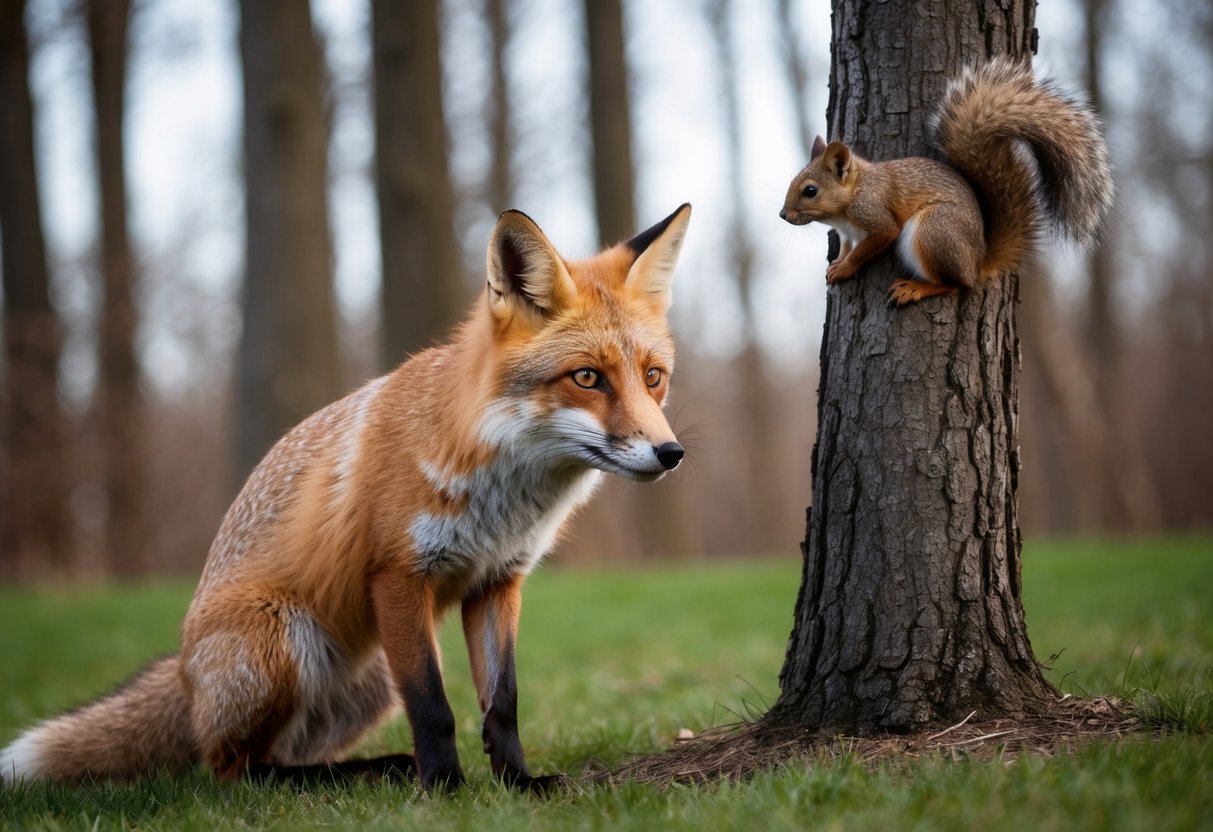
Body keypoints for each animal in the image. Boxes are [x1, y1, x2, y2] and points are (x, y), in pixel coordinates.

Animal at [1, 204, 693, 792]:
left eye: (653, 378)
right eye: (587, 378)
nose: (671, 453)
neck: (502, 491)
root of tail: (184, 672)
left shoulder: (497, 581)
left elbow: (503, 703)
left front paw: (516, 783)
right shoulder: (397, 577)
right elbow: (433, 705)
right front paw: (446, 789)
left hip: (367, 684)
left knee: (281, 754)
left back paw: (367, 770)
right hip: (285, 642)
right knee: (232, 771)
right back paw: (368, 773)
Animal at [779, 58, 1114, 306]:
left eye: (810, 191)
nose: (783, 215)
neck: (854, 194)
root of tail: (976, 263)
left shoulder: (876, 217)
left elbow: (870, 245)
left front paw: (846, 268)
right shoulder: (847, 232)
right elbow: (848, 246)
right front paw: (836, 263)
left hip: (934, 230)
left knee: (954, 285)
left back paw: (916, 288)